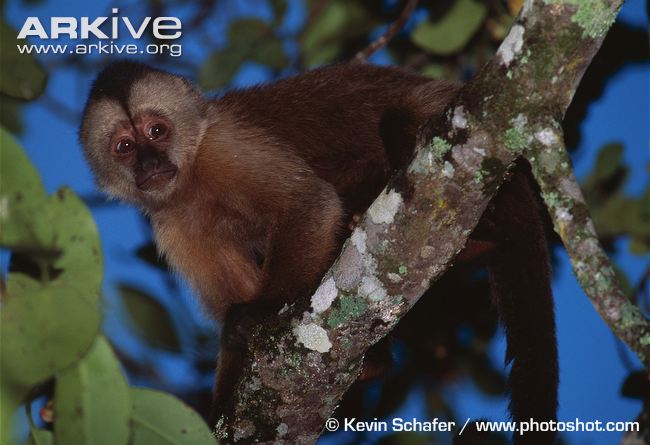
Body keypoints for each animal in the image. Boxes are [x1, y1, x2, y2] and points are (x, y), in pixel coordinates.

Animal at [79, 60, 557, 444]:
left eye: (157, 131)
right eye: (125, 146)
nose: (149, 163)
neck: (192, 180)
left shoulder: (223, 147)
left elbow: (308, 205)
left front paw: (260, 315)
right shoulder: (171, 223)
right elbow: (228, 312)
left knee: (401, 121)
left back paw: (479, 230)